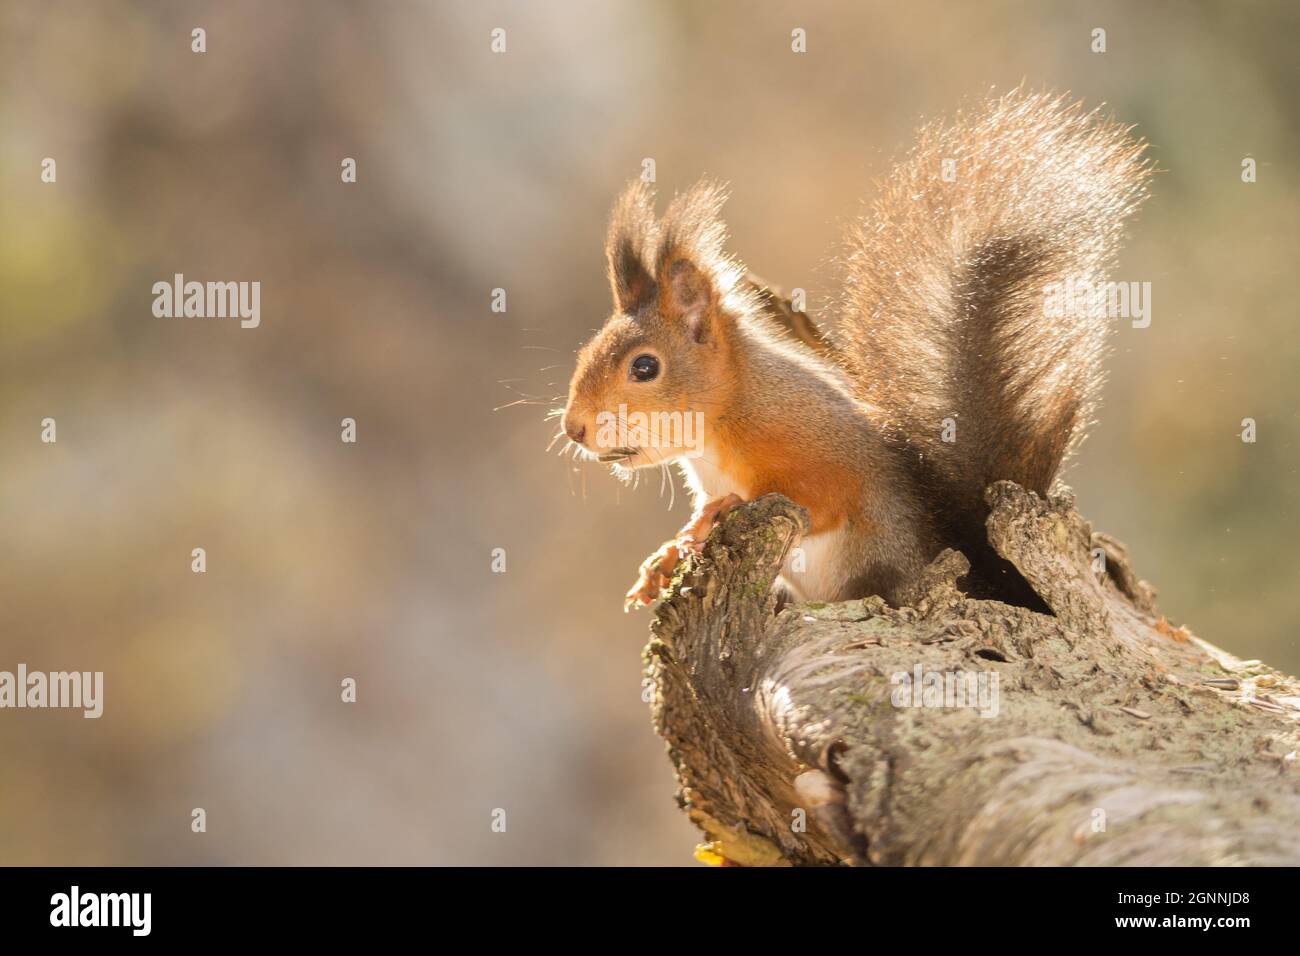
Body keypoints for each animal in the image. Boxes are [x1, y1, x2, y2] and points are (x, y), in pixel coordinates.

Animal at [559, 89, 1151, 612]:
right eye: (586, 351)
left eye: (644, 366)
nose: (574, 429)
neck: (725, 422)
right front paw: (665, 558)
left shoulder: (819, 456)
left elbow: (815, 501)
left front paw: (724, 510)